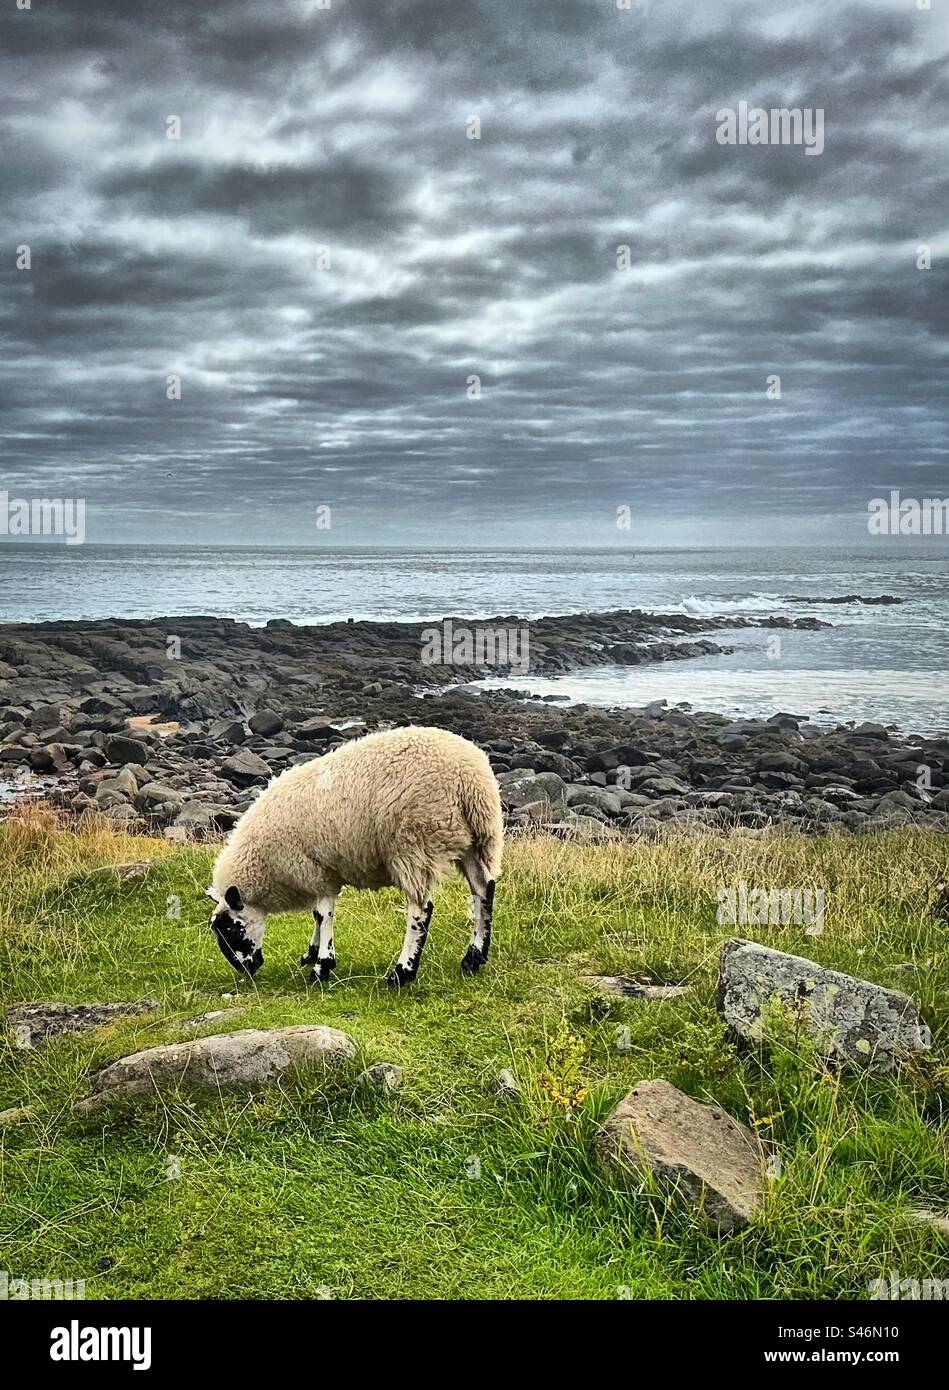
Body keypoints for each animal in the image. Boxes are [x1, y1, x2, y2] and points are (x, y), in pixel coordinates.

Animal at [206, 725, 503, 989]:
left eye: (231, 929)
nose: (247, 969)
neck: (265, 865)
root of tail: (470, 777)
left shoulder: (315, 869)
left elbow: (323, 914)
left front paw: (322, 966)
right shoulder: (323, 871)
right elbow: (317, 914)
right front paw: (312, 953)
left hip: (415, 842)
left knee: (421, 910)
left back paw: (402, 973)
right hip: (472, 840)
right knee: (483, 890)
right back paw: (474, 958)